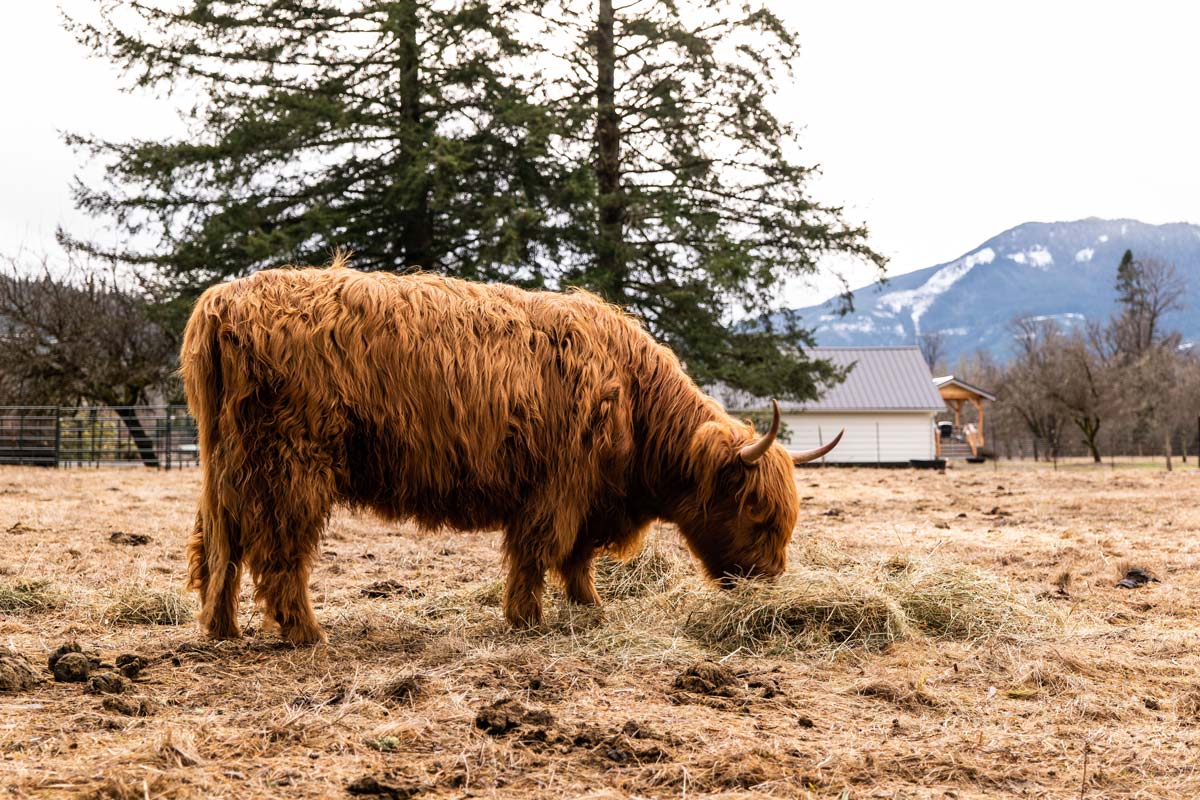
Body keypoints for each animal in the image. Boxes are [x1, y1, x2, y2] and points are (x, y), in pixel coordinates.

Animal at [180, 257, 842, 645]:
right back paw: (306, 634)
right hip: (291, 466)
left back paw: (220, 628)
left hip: (227, 467)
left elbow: (577, 558)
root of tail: (225, 302)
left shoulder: (588, 499)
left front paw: (590, 607)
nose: (770, 583)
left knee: (217, 543)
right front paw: (526, 619)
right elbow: (540, 551)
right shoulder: (560, 487)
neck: (634, 402)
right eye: (759, 514)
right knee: (279, 552)